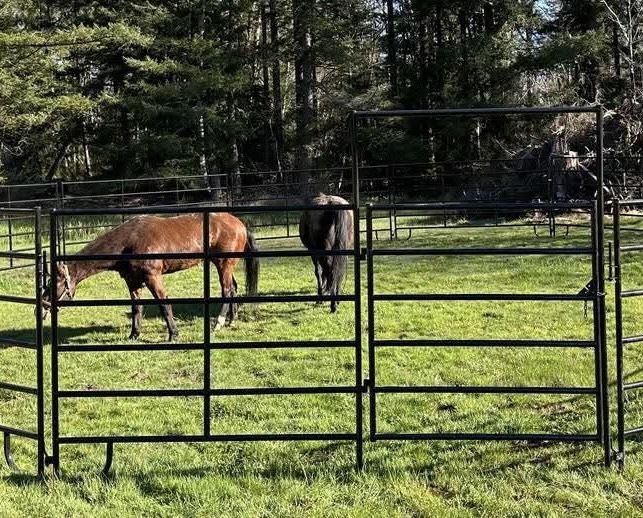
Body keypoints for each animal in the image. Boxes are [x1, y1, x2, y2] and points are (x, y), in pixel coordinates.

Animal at [43, 212, 260, 341]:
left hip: (224, 264)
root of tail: (239, 222)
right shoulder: (132, 281)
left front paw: (173, 334)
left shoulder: (153, 277)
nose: (43, 306)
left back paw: (219, 323)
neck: (129, 242)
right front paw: (134, 334)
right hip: (224, 265)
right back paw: (232, 320)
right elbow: (136, 308)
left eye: (55, 283)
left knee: (226, 290)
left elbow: (164, 304)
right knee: (233, 289)